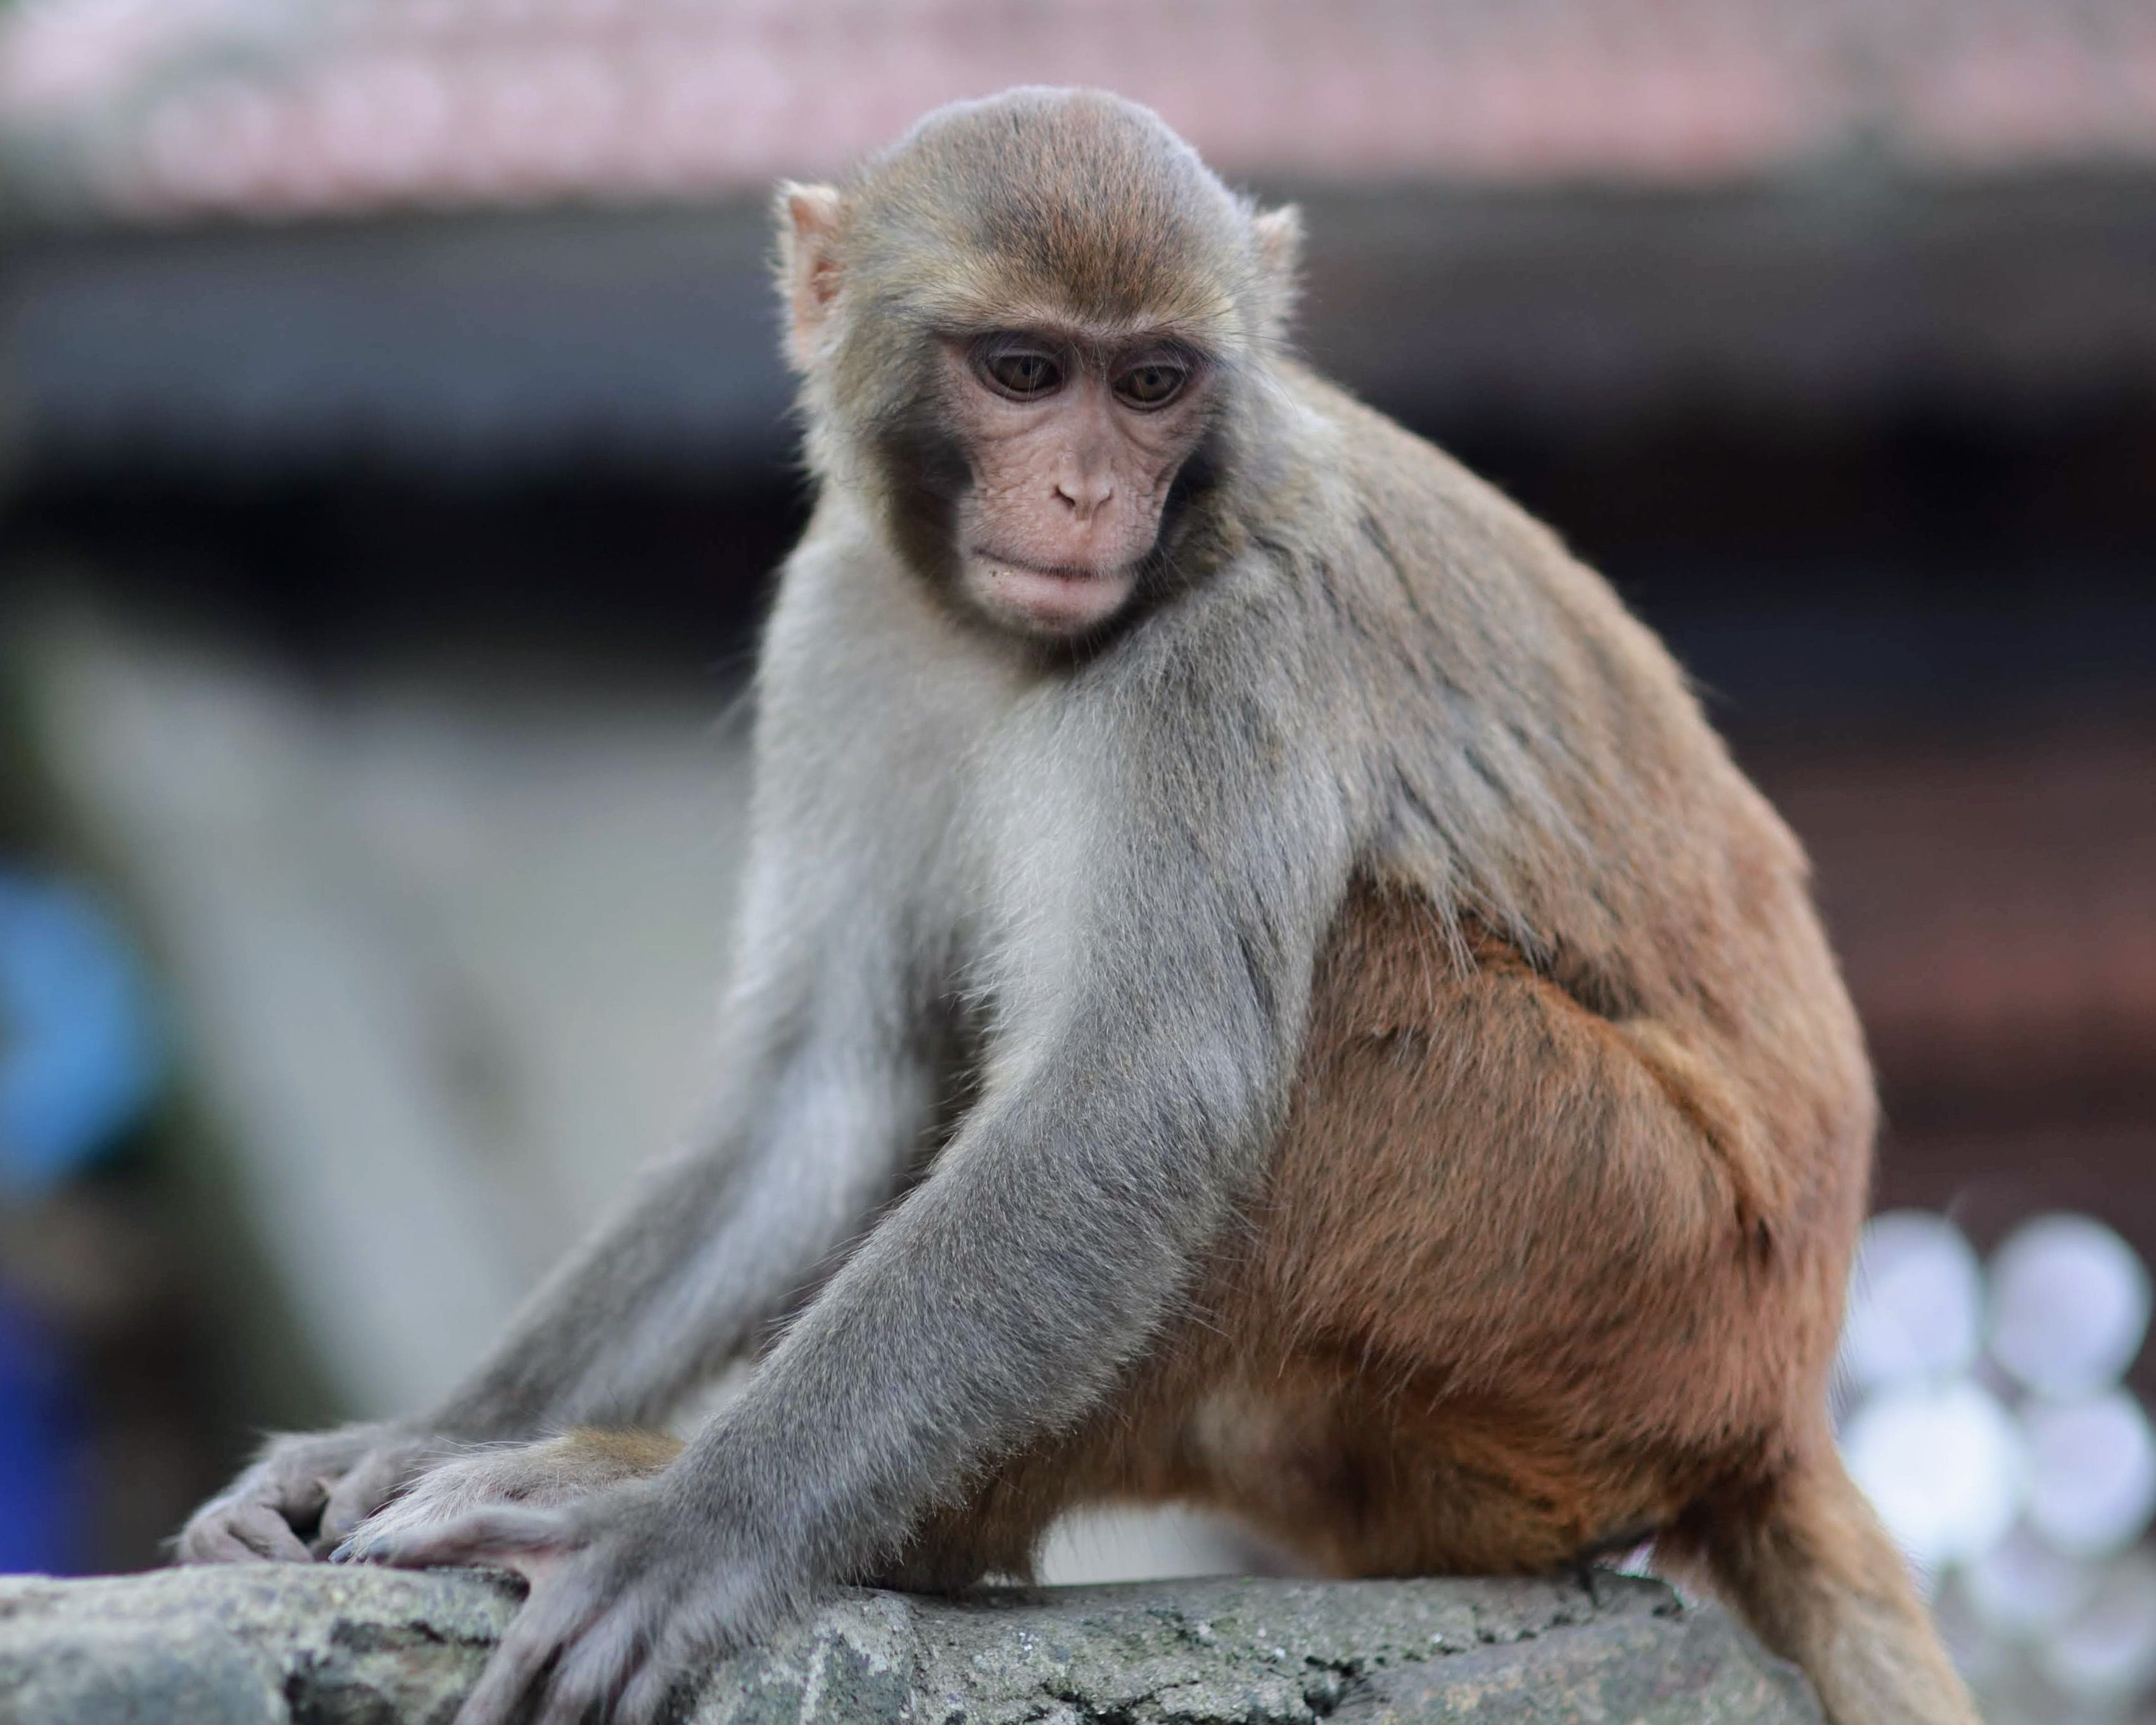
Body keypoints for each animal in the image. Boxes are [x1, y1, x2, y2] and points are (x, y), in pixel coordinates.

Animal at [175, 87, 1979, 1725]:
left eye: (1154, 382)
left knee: (1319, 1028)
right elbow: (826, 1094)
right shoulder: (841, 613)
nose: (1083, 500)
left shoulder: (1236, 645)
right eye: (1025, 372)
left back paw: (800, 1512)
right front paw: (398, 1435)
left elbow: (1139, 1096)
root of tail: (1783, 1401)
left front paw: (684, 1526)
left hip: (1646, 1270)